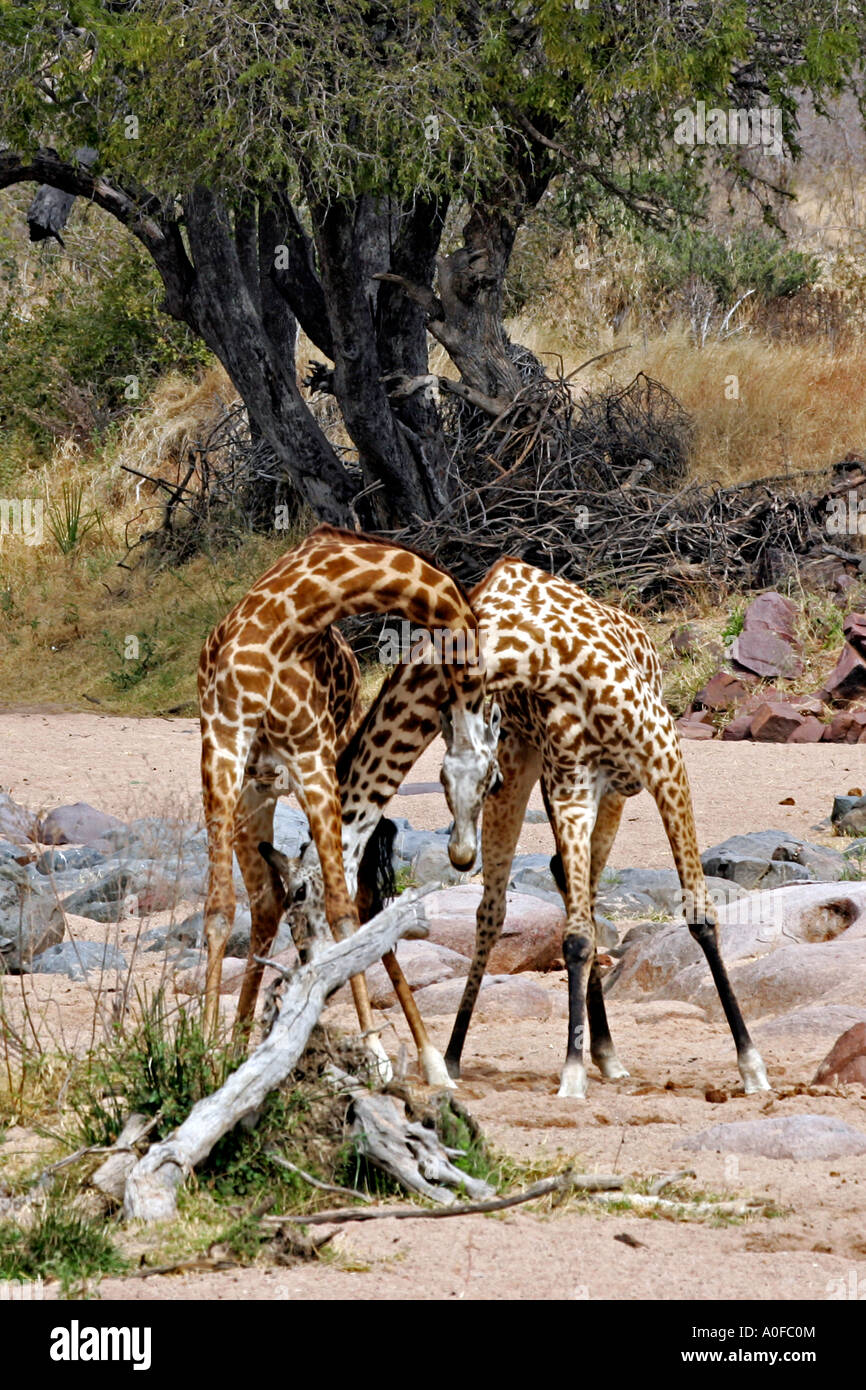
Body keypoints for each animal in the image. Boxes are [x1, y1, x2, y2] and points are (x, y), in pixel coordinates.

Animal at [197, 524, 497, 1085]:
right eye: (484, 780)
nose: (465, 855)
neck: (294, 614)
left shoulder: (313, 756)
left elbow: (342, 908)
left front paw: (377, 1053)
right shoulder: (222, 746)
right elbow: (220, 908)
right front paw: (200, 1049)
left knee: (352, 895)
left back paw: (425, 1058)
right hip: (256, 790)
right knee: (267, 902)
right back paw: (240, 1044)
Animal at [270, 555, 771, 1099]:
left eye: (305, 903)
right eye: (441, 782)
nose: (309, 970)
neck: (539, 652)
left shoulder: (665, 762)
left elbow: (700, 915)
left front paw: (751, 1066)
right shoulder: (568, 785)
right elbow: (575, 935)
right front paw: (571, 1073)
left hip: (606, 788)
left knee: (570, 885)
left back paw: (604, 1055)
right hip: (542, 771)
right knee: (511, 905)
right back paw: (476, 1054)